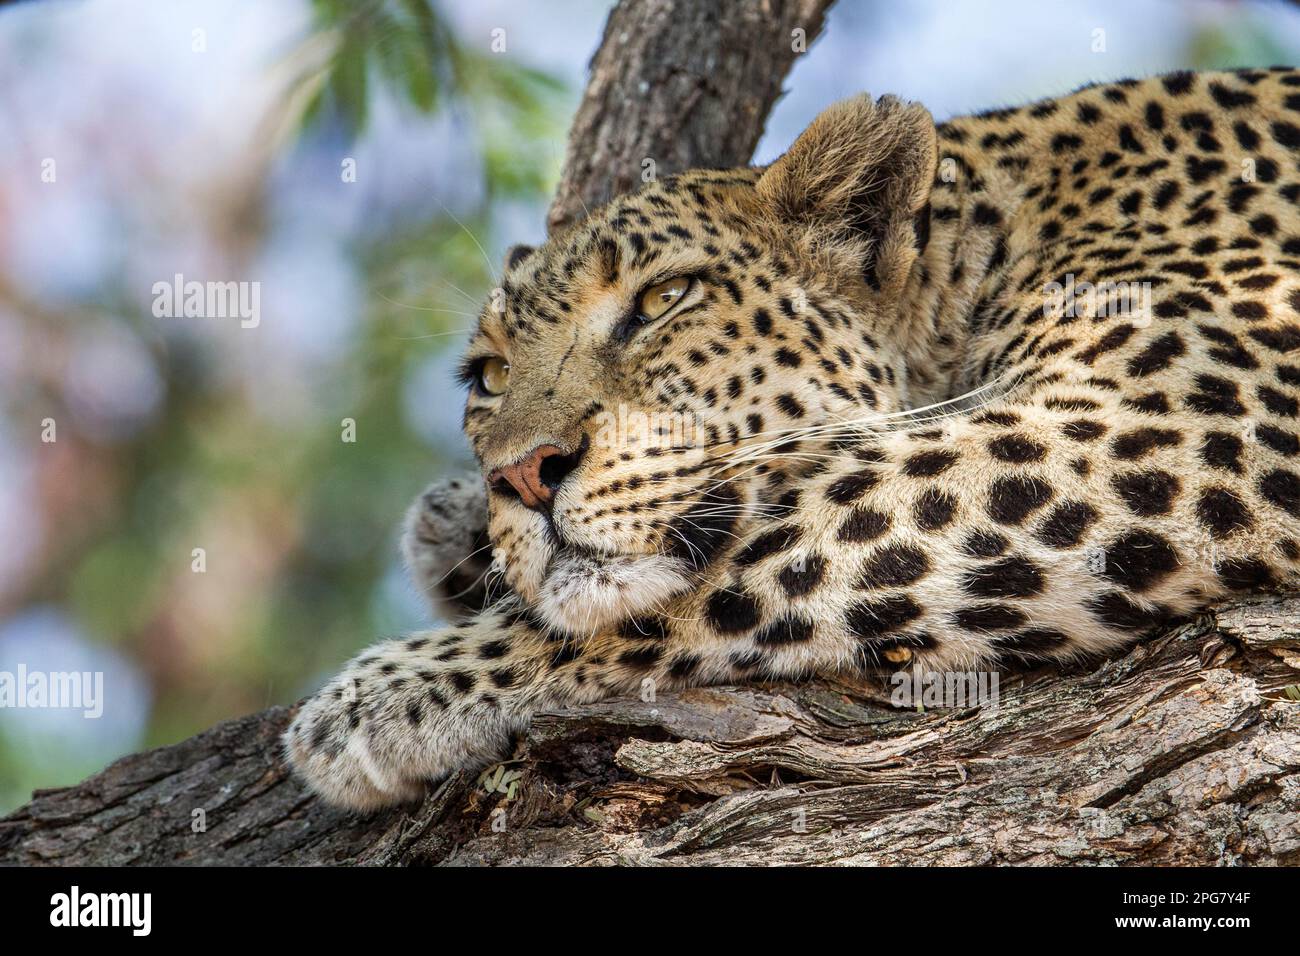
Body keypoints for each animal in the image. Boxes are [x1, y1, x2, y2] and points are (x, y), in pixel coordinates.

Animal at [286, 68, 1300, 811]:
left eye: (664, 299)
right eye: (488, 377)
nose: (525, 474)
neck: (992, 245)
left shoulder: (1171, 416)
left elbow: (757, 551)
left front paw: (383, 699)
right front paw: (457, 527)